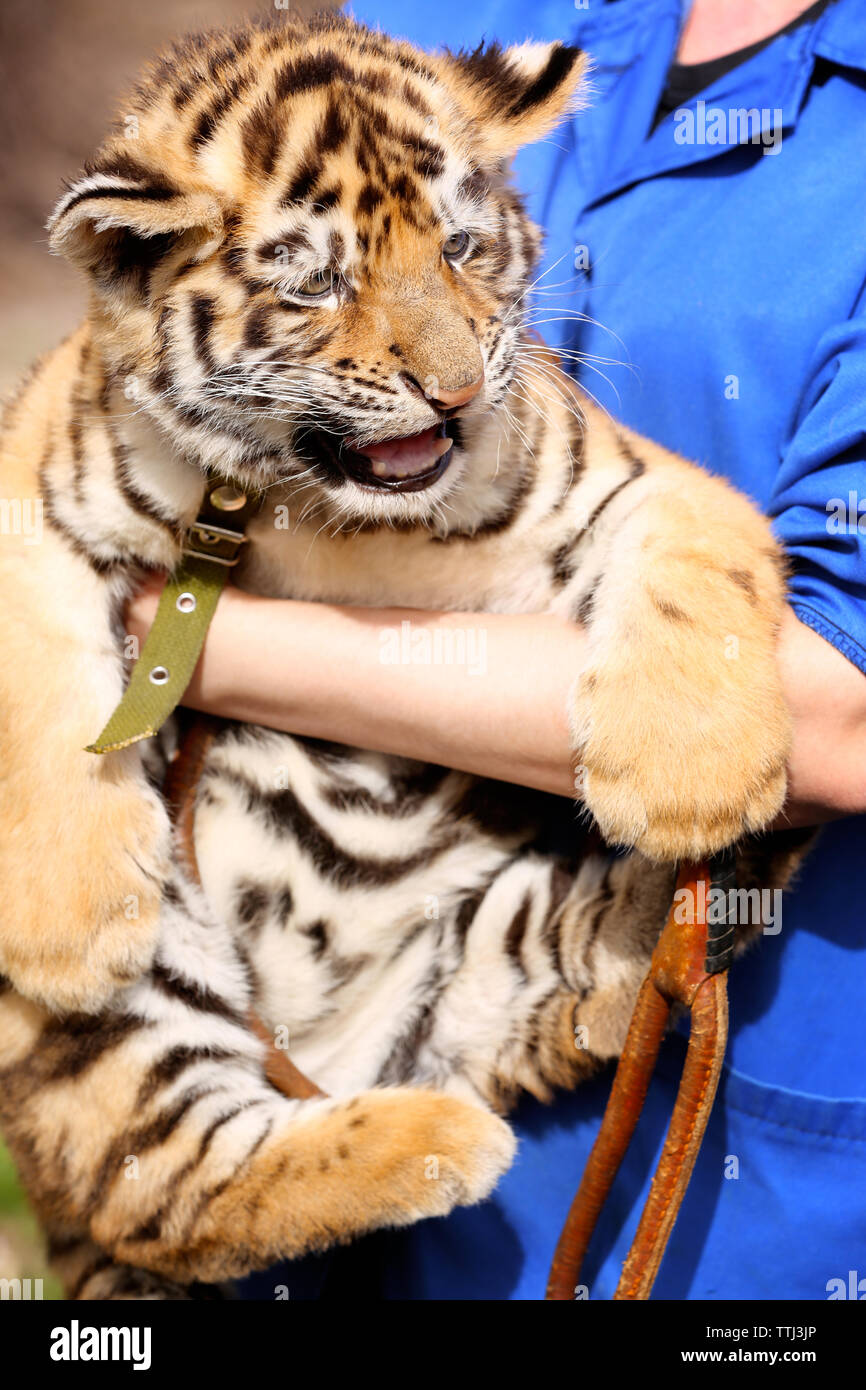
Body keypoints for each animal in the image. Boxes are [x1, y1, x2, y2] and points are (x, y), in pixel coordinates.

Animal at [0, 12, 807, 1300]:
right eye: (316, 281)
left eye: (464, 248)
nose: (458, 387)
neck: (329, 513)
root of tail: (348, 1047)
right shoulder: (32, 508)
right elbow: (34, 684)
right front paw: (67, 928)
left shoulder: (641, 484)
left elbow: (699, 577)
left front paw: (691, 785)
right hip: (134, 1039)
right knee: (182, 1182)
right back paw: (431, 1134)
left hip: (499, 945)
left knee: (582, 985)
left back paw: (708, 890)